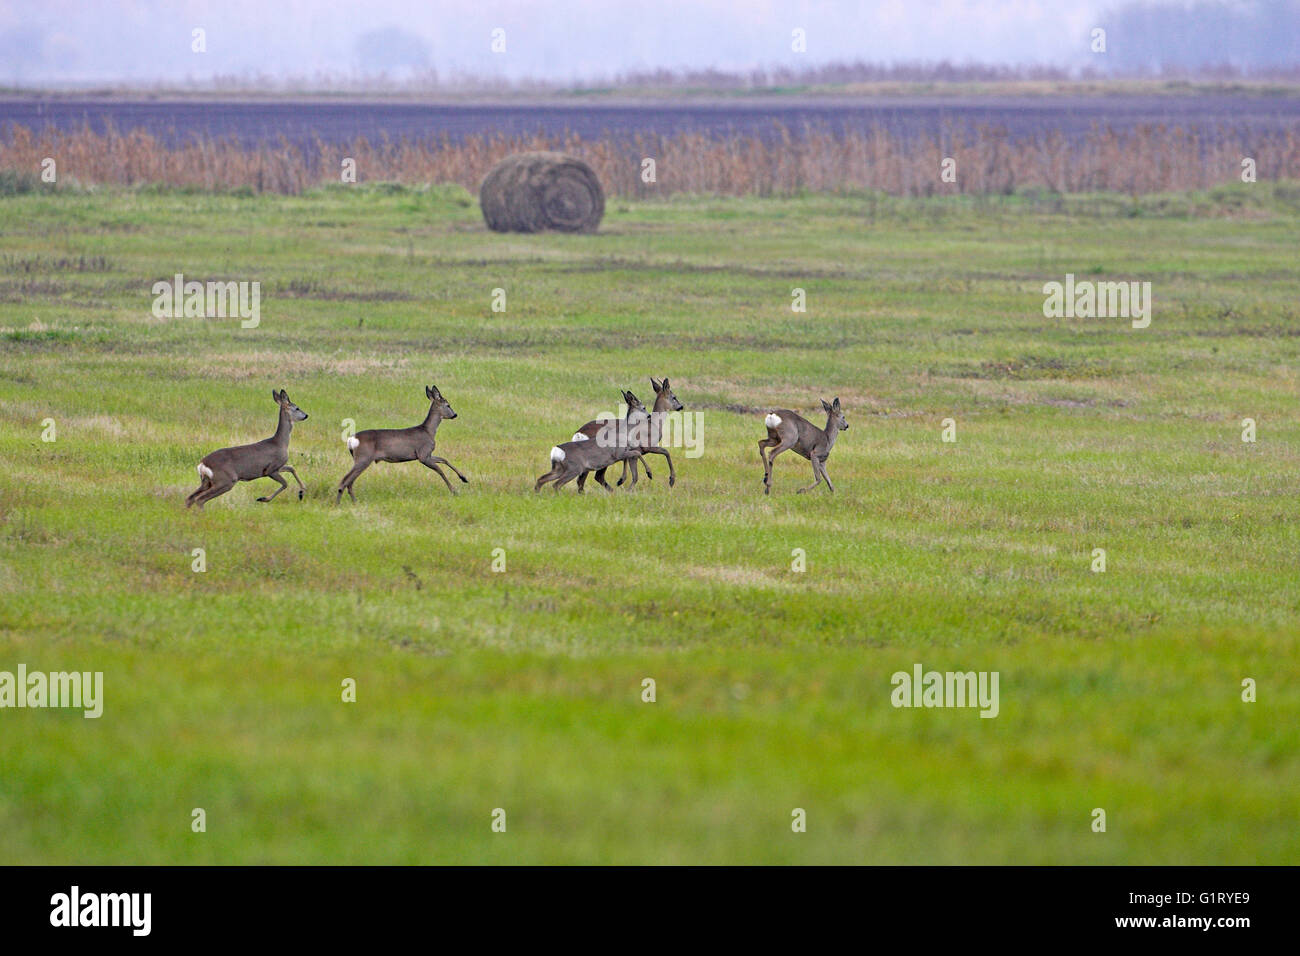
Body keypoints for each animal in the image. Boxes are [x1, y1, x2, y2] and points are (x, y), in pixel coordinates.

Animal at [335, 385, 468, 503]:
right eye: (448, 405)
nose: (455, 414)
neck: (429, 431)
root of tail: (351, 439)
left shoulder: (427, 454)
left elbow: (444, 460)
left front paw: (464, 478)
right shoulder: (423, 455)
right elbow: (440, 470)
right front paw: (454, 491)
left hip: (359, 459)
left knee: (349, 481)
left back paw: (354, 501)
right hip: (364, 457)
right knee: (345, 480)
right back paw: (339, 503)